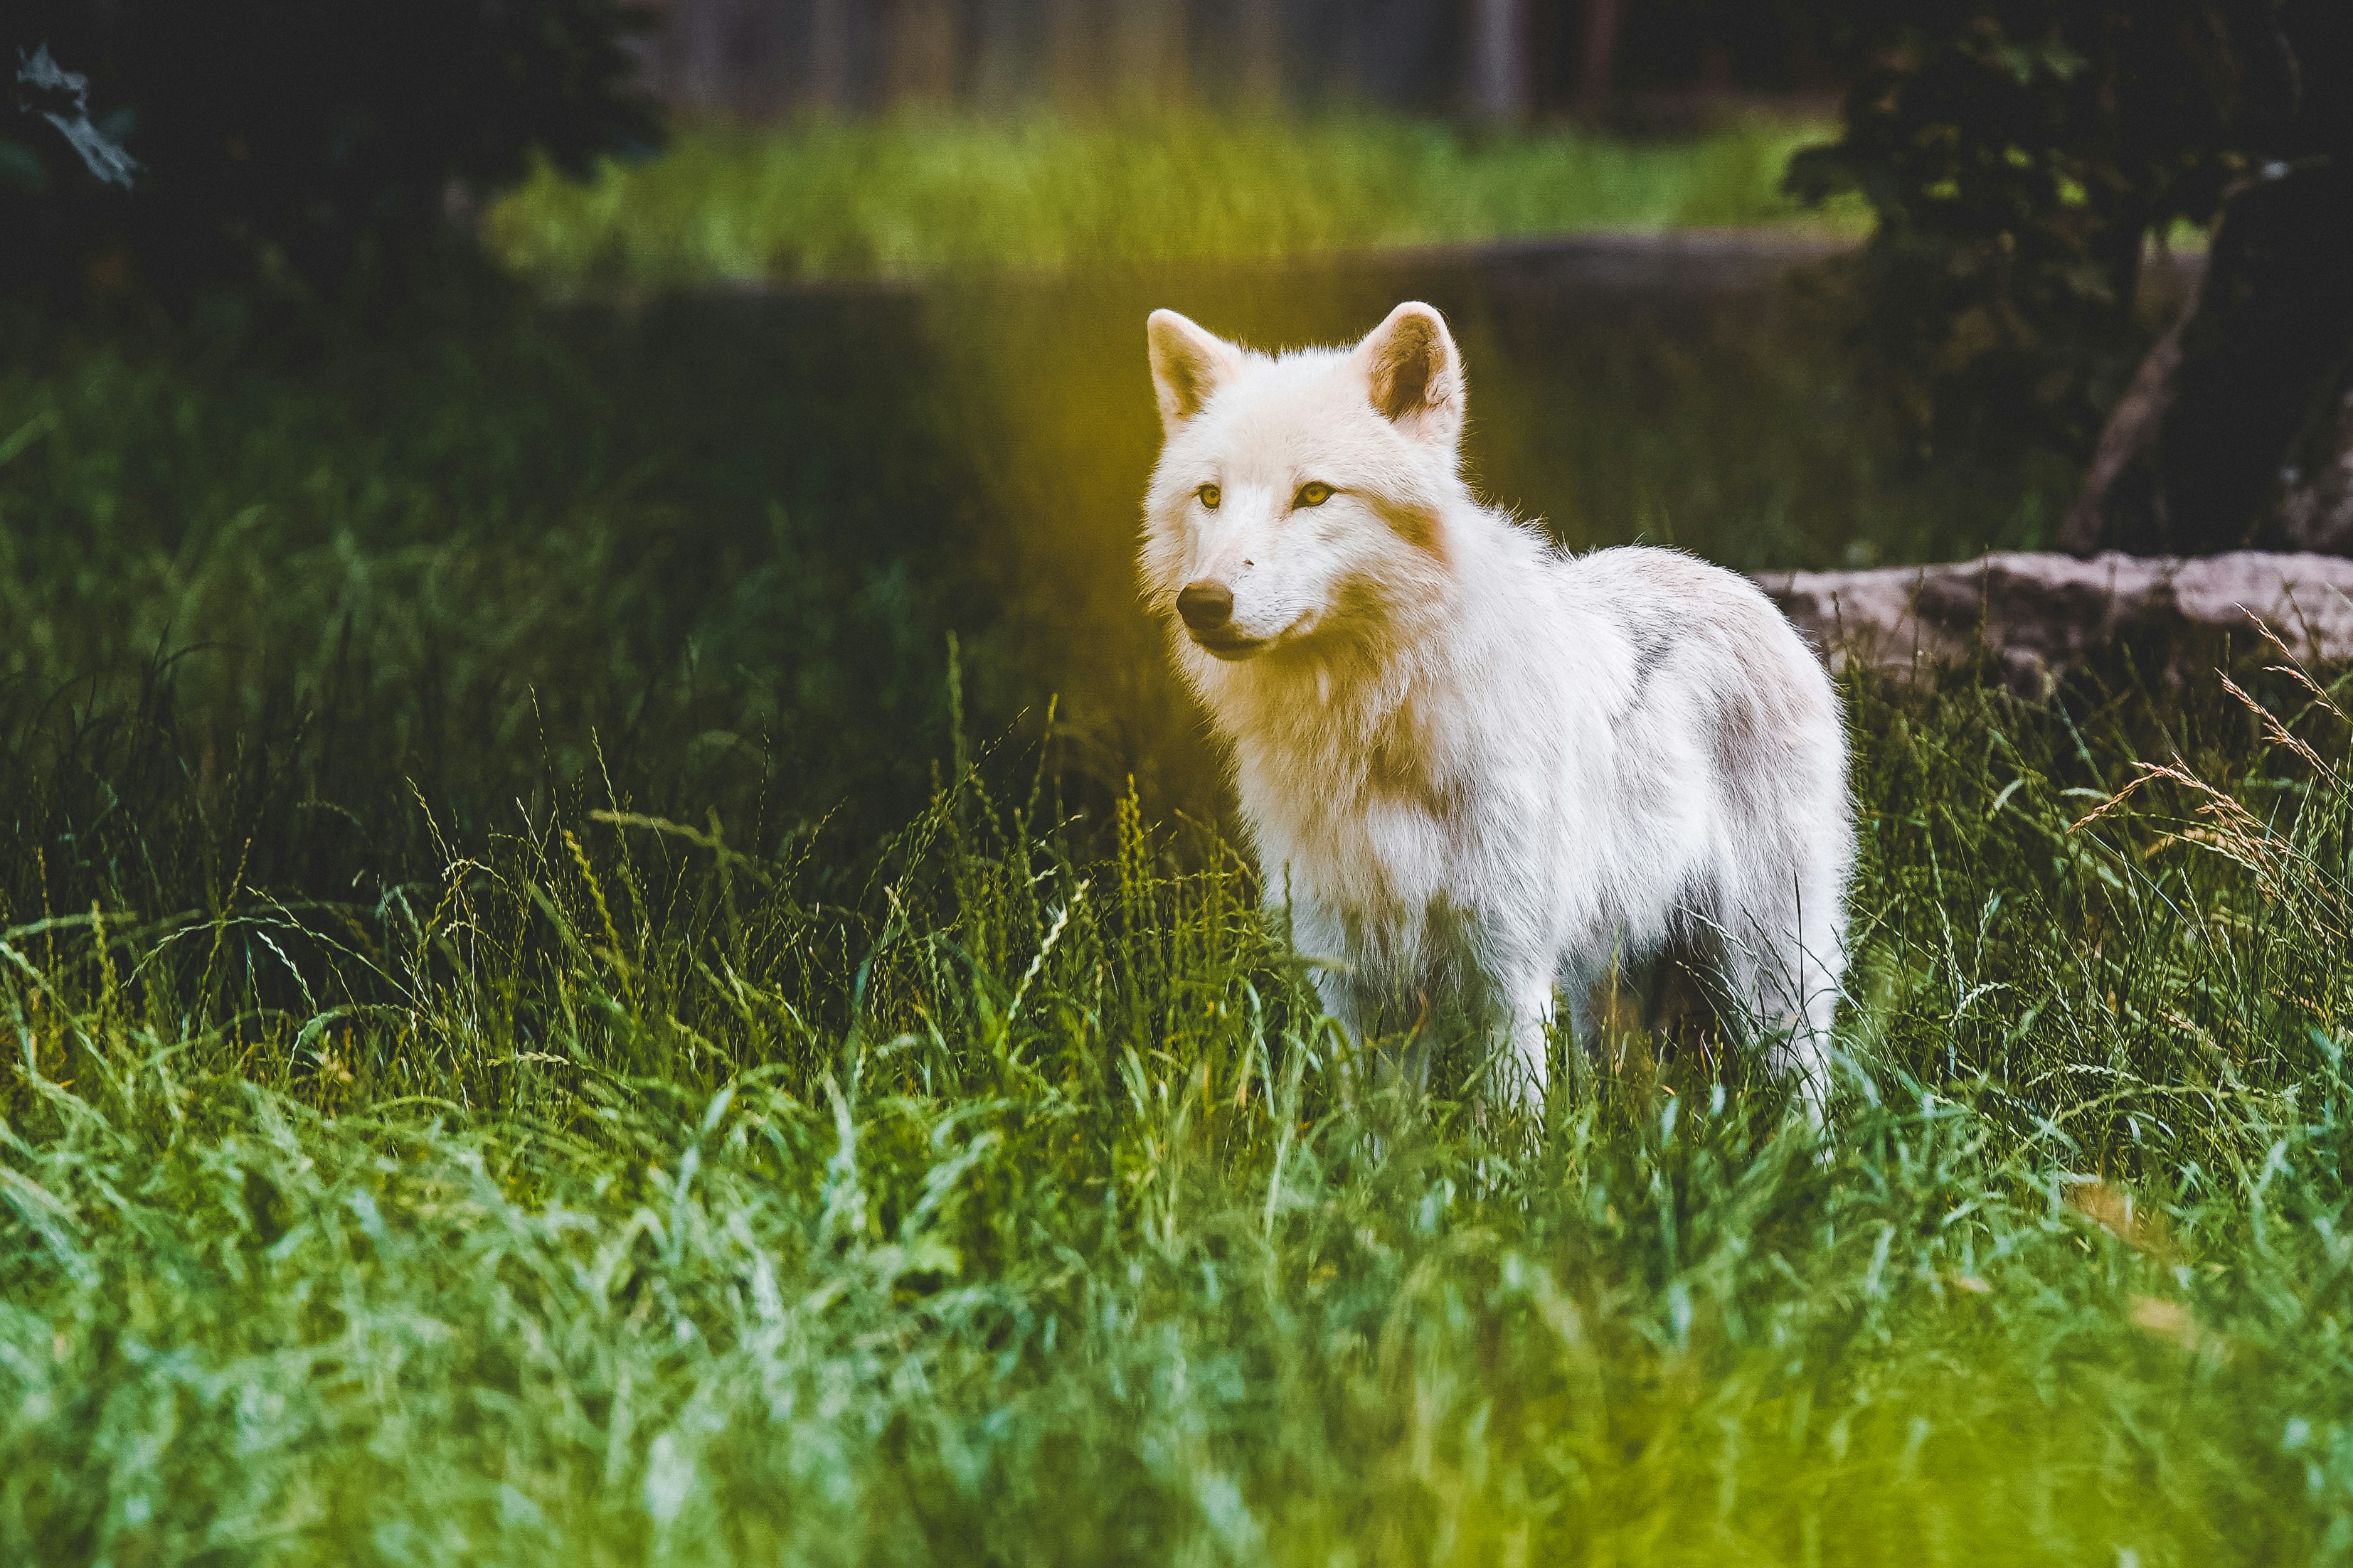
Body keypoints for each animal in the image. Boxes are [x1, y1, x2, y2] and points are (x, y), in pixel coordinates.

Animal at [1139, 301, 1853, 1113]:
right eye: (1210, 496)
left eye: (1314, 494)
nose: (1202, 602)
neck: (1374, 723)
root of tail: (1731, 582)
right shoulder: (1356, 989)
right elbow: (1372, 1132)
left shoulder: (1507, 973)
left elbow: (1509, 1128)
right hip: (1609, 992)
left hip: (1768, 971)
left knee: (1808, 1083)